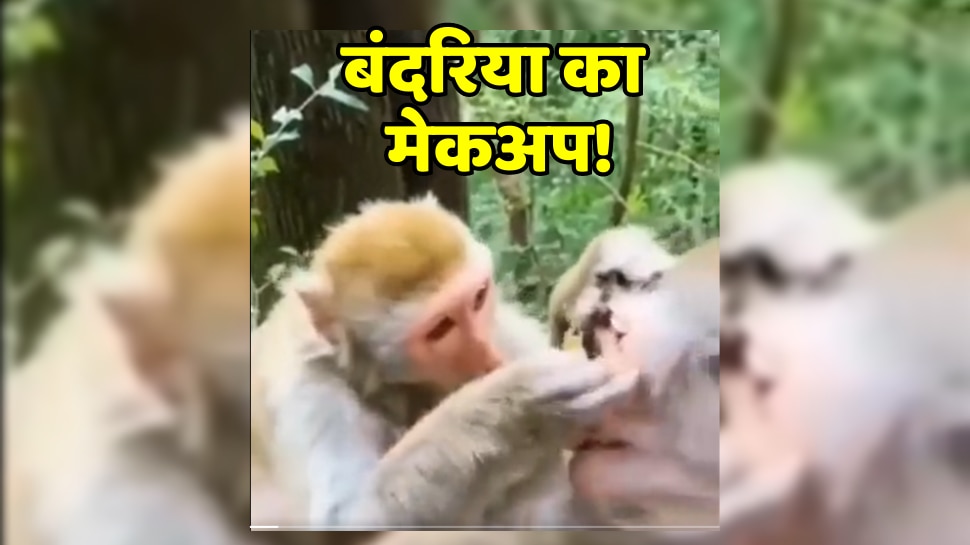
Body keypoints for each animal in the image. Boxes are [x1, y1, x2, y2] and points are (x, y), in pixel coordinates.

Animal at [251, 195, 642, 528]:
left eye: (479, 298)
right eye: (440, 328)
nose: (490, 357)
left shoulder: (504, 331)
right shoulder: (312, 390)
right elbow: (347, 519)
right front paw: (523, 406)